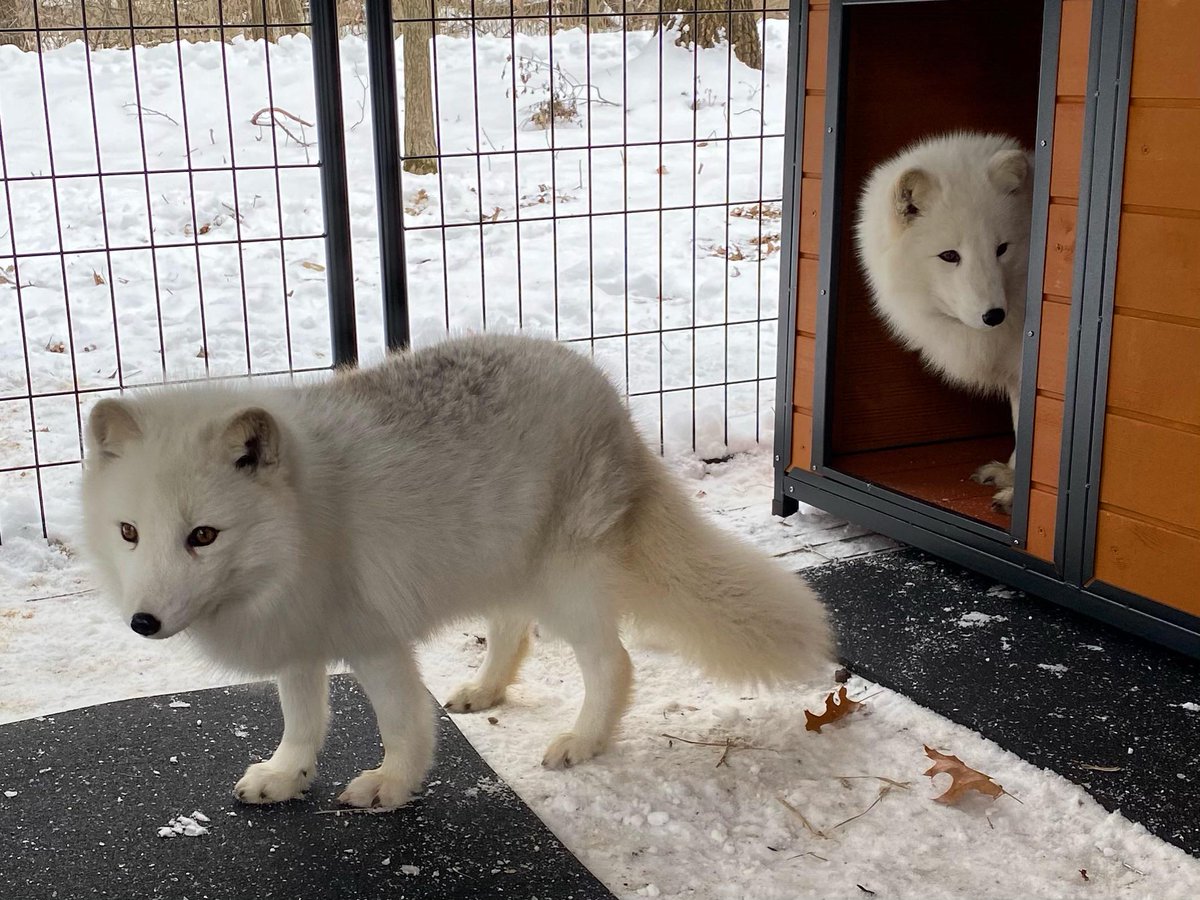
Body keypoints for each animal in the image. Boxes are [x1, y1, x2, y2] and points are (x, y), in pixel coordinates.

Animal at [81, 334, 834, 809]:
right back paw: (487, 689)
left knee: (614, 664)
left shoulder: (373, 639)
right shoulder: (297, 635)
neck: (303, 526)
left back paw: (584, 741)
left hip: (566, 585)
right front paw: (288, 775)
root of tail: (605, 394)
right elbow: (302, 720)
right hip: (504, 564)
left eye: (203, 537)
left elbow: (400, 722)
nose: (143, 622)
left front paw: (393, 785)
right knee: (512, 629)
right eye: (129, 533)